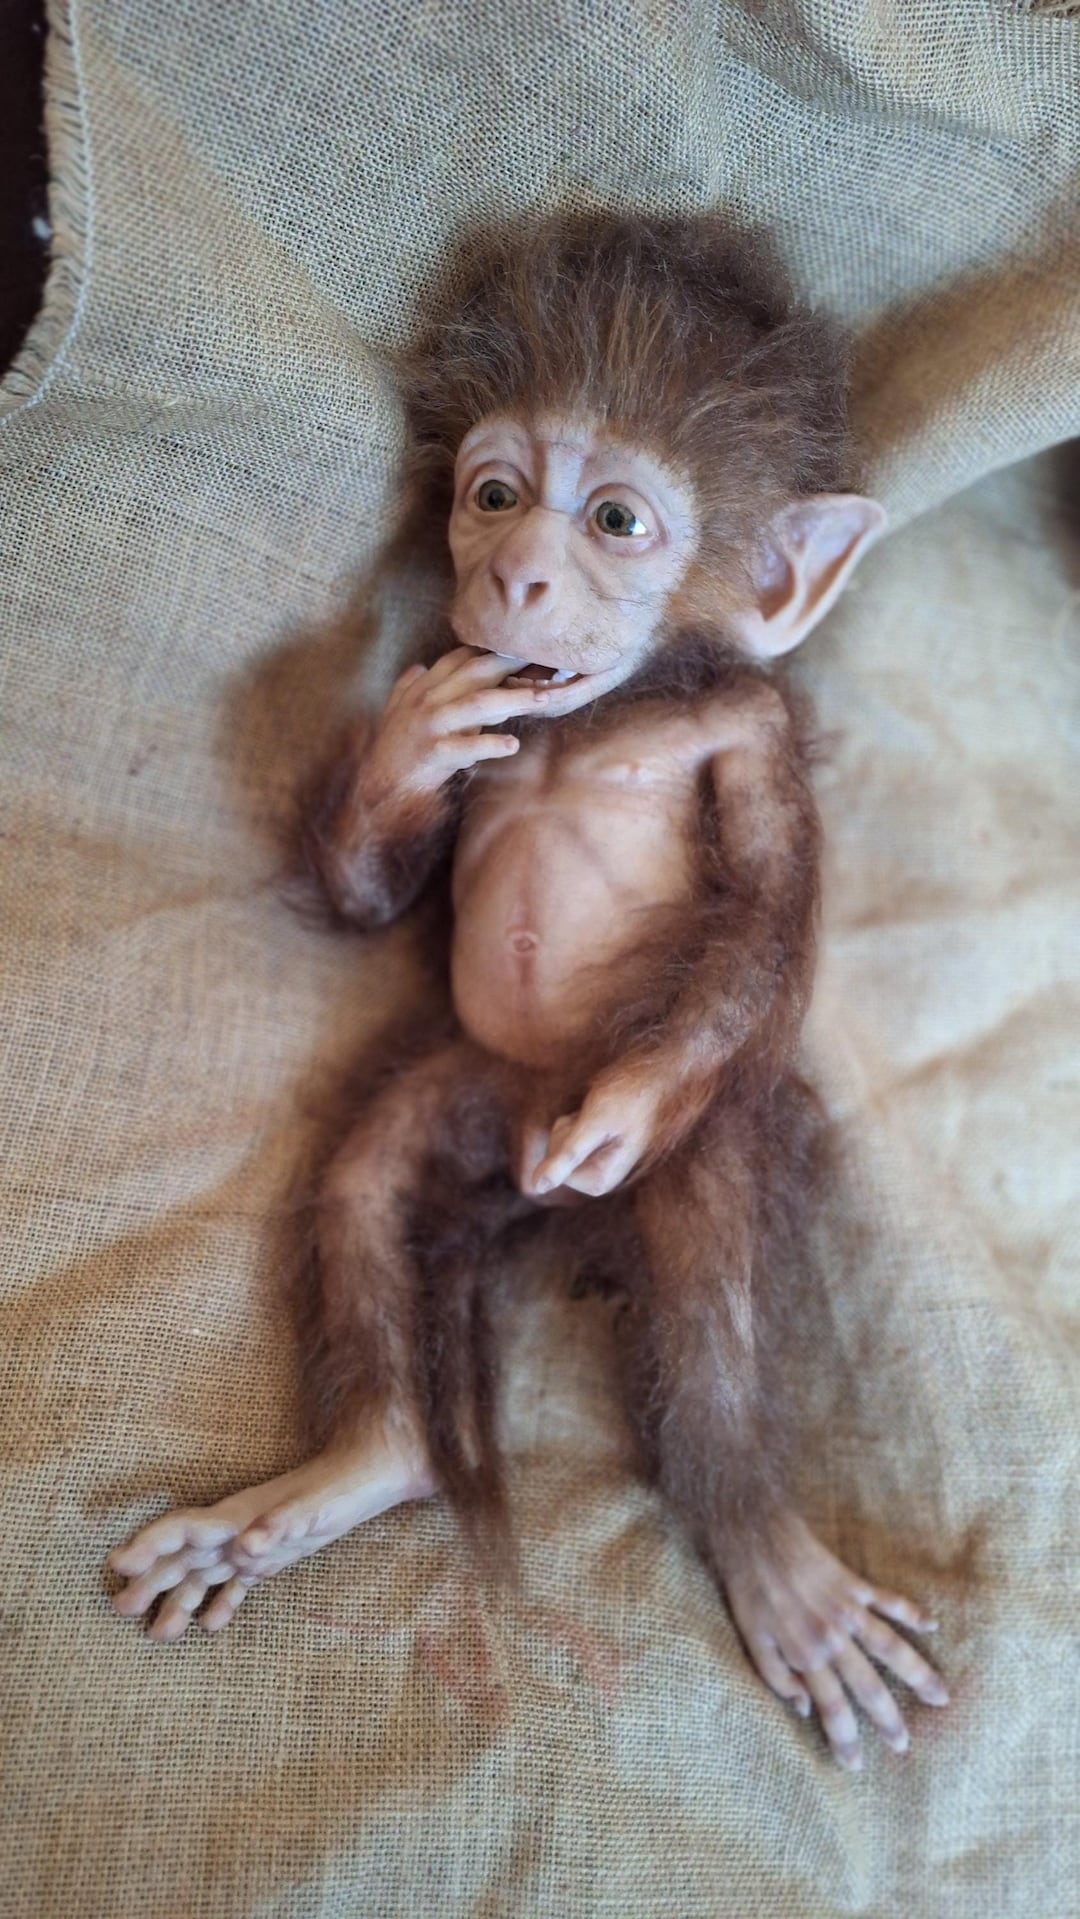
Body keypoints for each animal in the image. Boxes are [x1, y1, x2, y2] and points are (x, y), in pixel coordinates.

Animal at [107, 211, 949, 1770]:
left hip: (671, 1133)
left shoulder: (753, 728)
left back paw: (770, 1553)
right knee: (369, 1184)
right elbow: (373, 897)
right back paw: (363, 1460)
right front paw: (403, 750)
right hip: (468, 1091)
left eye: (615, 520)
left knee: (711, 1238)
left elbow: (768, 921)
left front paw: (625, 1102)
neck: (603, 708)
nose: (516, 577)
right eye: (494, 494)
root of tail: (525, 1179)